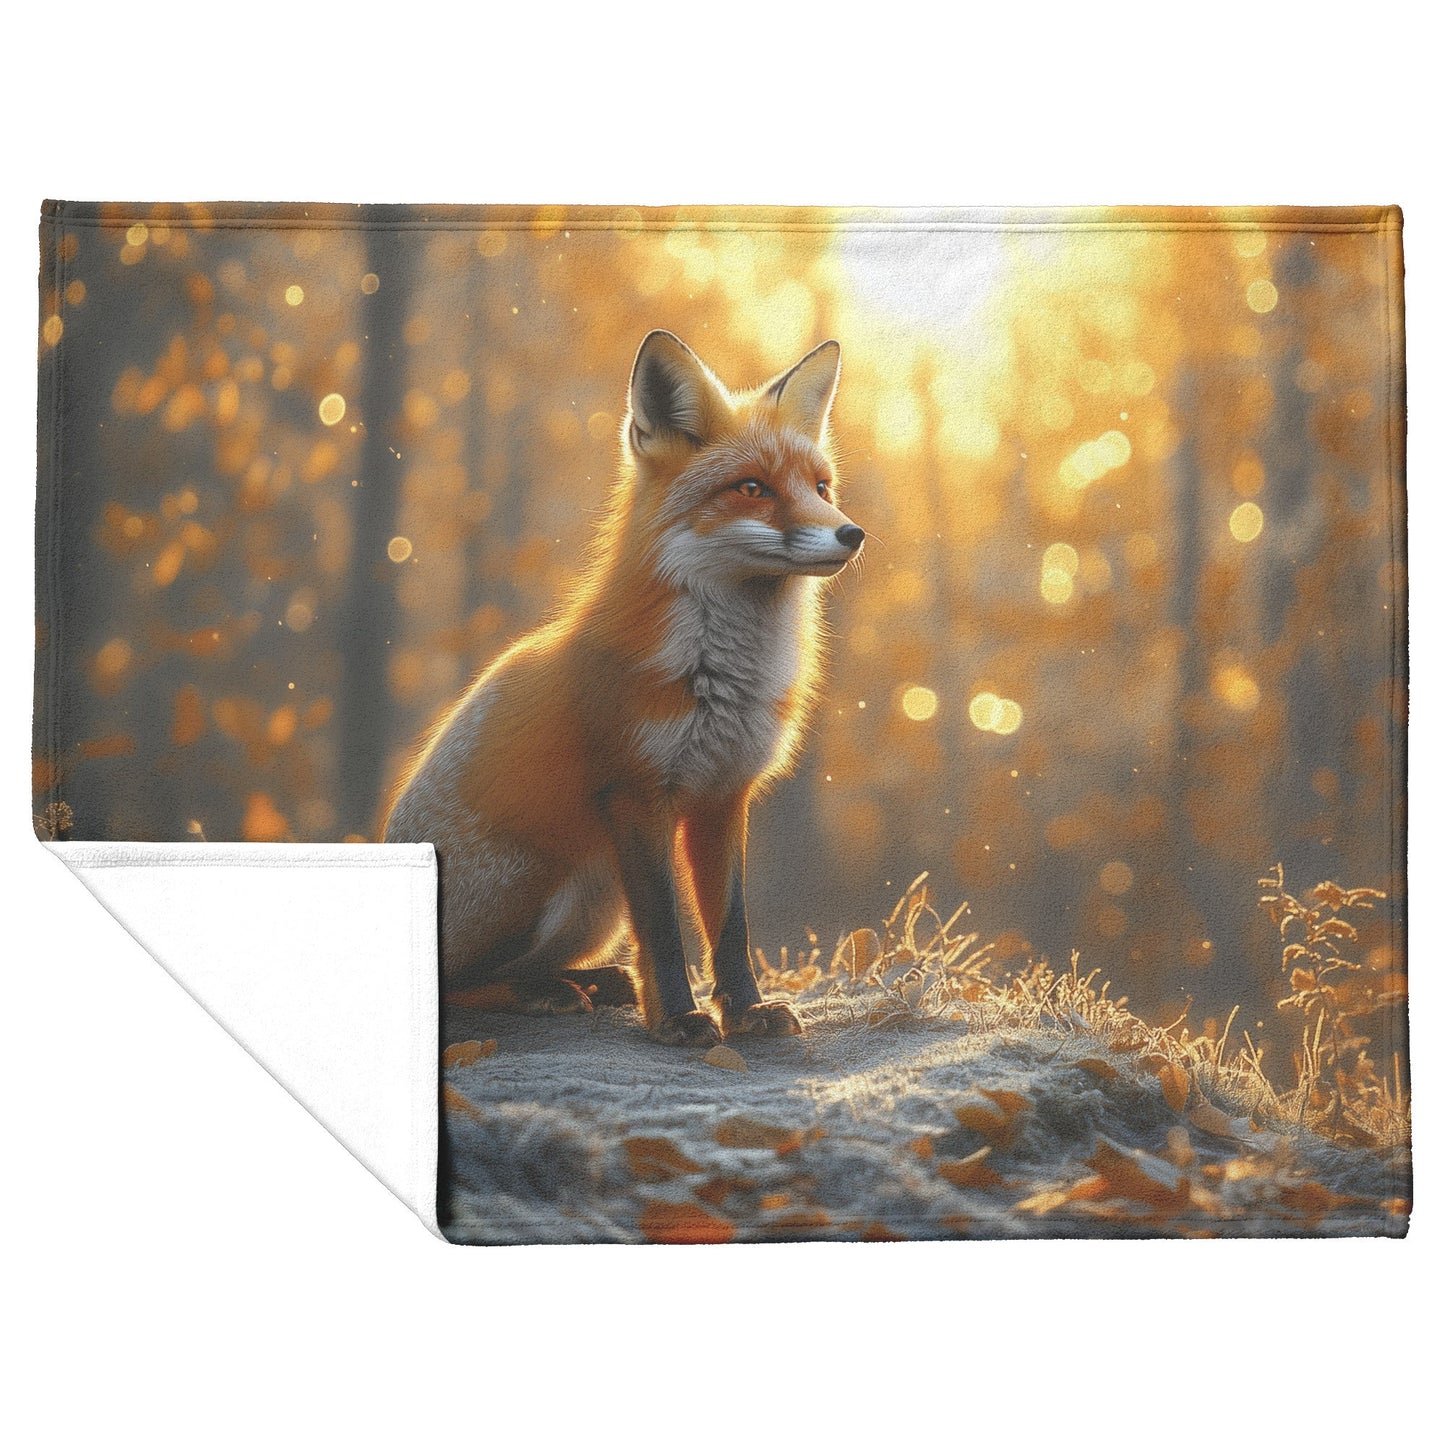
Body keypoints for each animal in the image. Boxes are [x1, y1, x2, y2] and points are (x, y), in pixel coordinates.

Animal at [383, 330, 864, 1045]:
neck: (720, 681)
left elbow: (731, 927)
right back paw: (545, 992)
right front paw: (680, 1021)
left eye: (821, 486)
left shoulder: (724, 794)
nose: (851, 532)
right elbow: (663, 928)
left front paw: (746, 1013)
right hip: (543, 886)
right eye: (752, 487)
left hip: (595, 901)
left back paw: (591, 981)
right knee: (455, 984)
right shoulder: (635, 793)